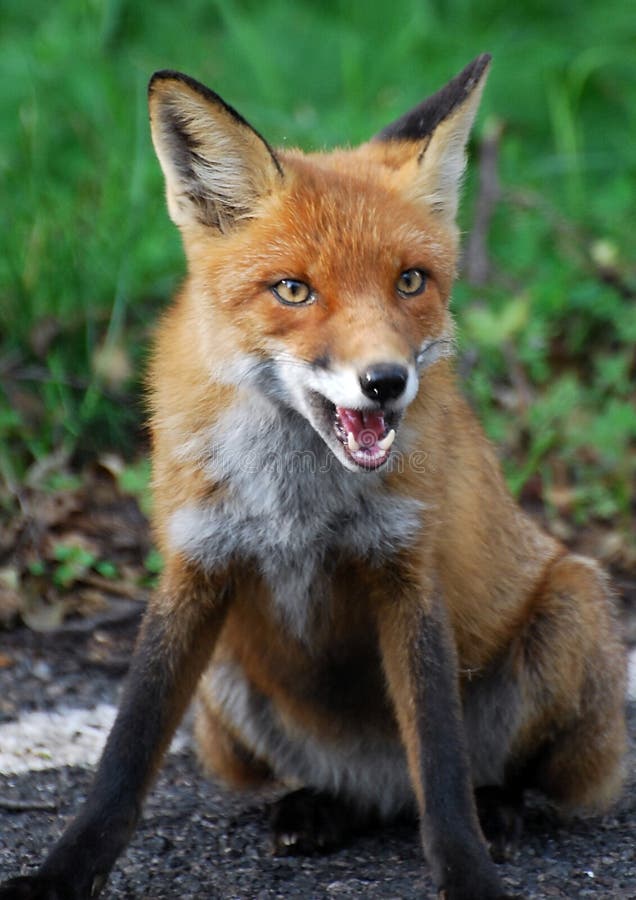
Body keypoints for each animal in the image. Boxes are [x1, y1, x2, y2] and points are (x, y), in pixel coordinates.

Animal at [0, 54, 627, 900]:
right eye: (294, 290)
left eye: (410, 281)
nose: (386, 382)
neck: (293, 505)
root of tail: (382, 785)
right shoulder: (194, 568)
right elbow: (123, 758)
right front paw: (64, 871)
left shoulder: (407, 570)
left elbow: (441, 761)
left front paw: (467, 874)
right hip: (225, 699)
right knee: (341, 788)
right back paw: (320, 808)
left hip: (573, 607)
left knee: (495, 778)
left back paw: (498, 808)